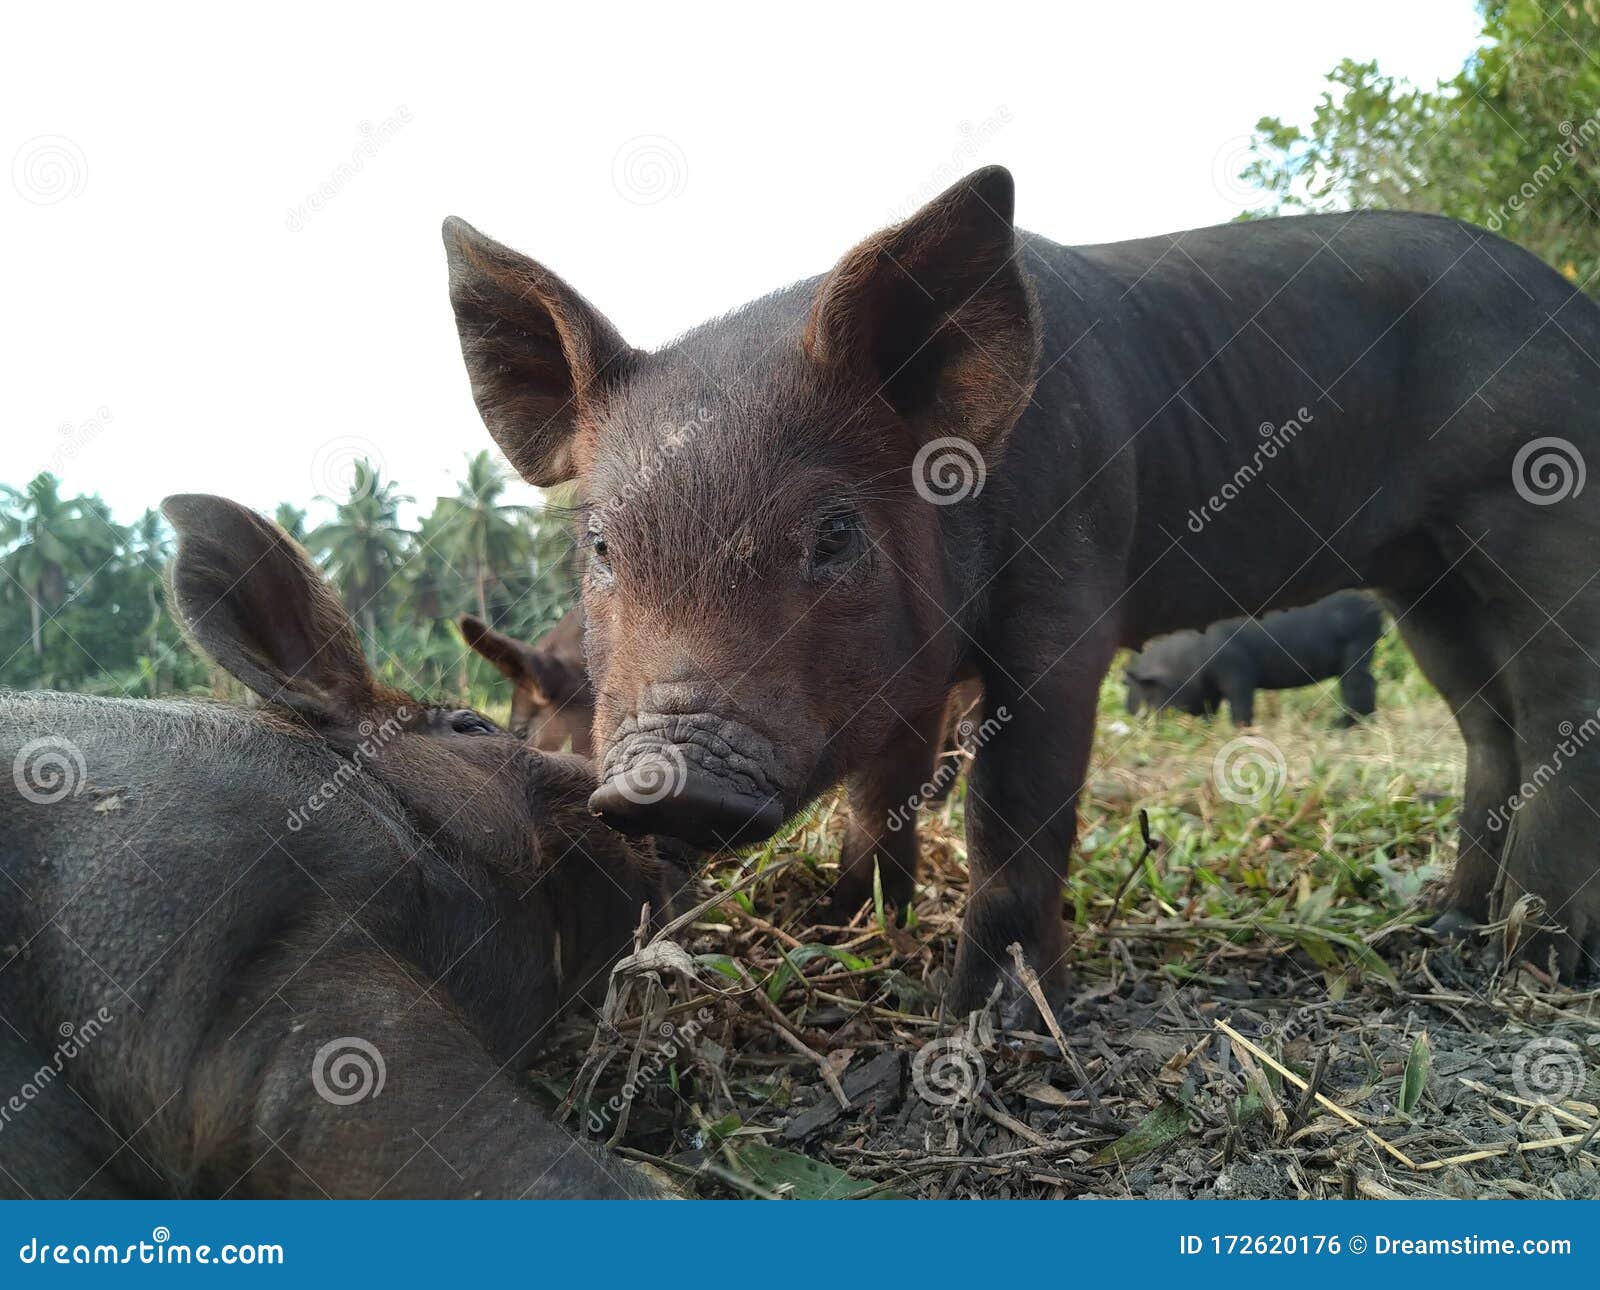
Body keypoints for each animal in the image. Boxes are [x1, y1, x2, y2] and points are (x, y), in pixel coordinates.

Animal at [1125, 590, 1383, 727]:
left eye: (1147, 692)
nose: (1133, 717)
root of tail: (1373, 602)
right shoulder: (1211, 686)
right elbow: (1211, 707)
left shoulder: (1237, 669)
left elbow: (1241, 702)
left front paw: (1240, 730)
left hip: (1357, 646)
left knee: (1359, 684)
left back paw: (1339, 726)